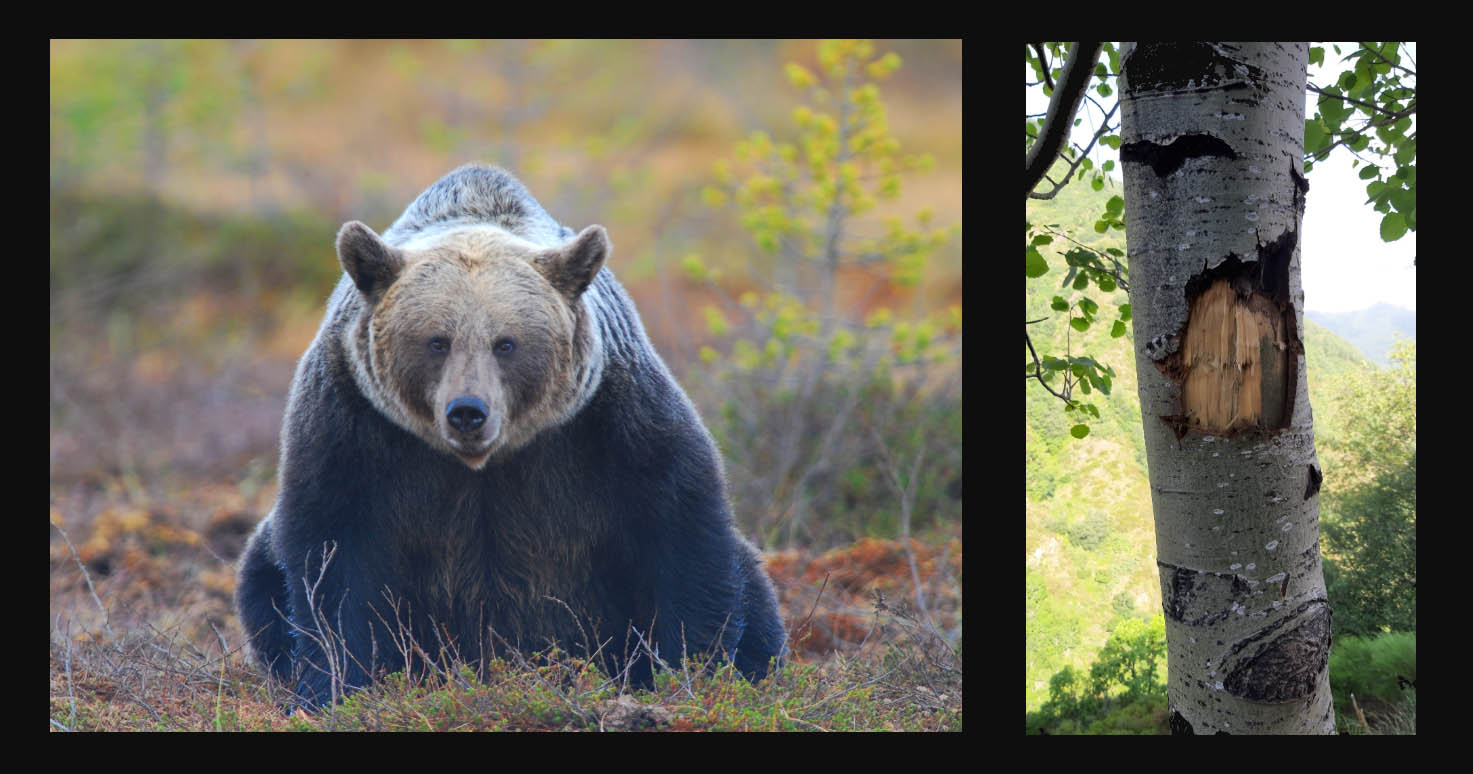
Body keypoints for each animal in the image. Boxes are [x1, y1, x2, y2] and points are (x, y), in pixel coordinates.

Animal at [236, 164, 785, 709]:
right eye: (437, 340)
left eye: (506, 343)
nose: (467, 412)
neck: (485, 465)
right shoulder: (353, 430)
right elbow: (330, 564)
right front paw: (332, 688)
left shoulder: (611, 425)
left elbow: (682, 535)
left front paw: (691, 675)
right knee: (260, 577)